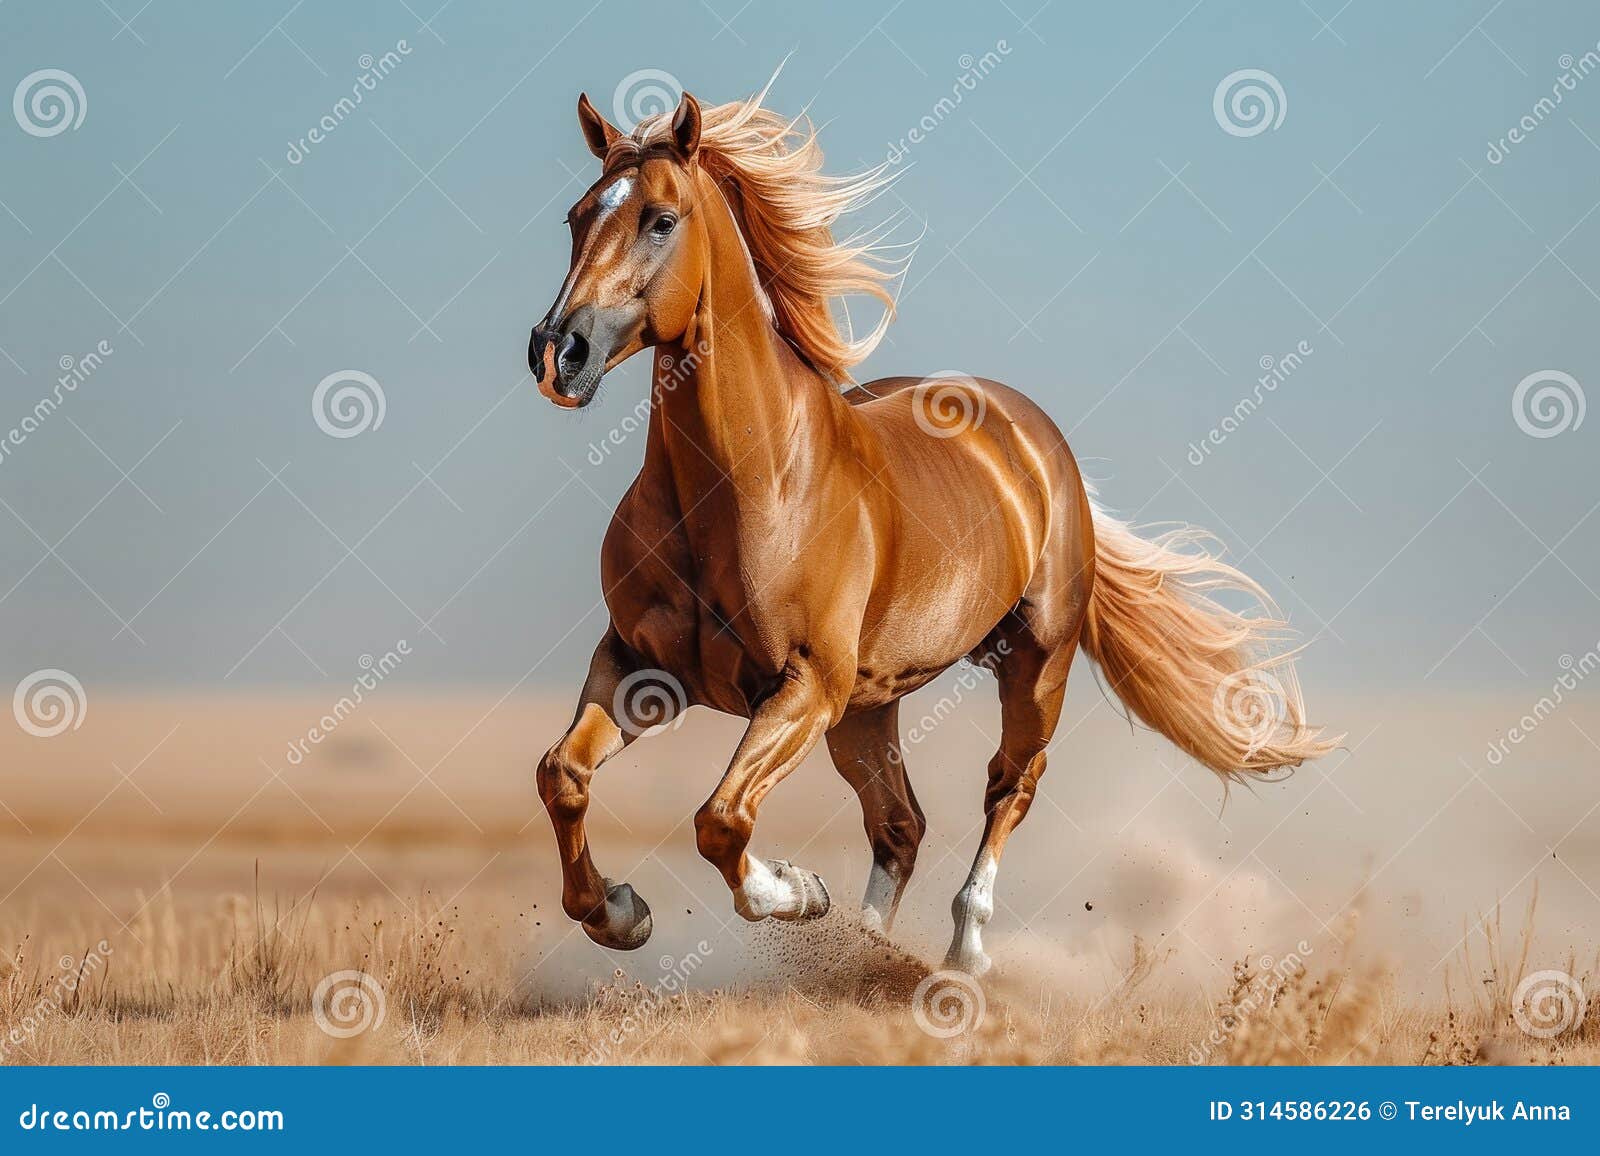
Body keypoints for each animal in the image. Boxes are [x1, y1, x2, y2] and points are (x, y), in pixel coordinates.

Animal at [526, 81, 1336, 976]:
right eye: (576, 216)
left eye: (661, 219)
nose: (558, 351)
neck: (744, 488)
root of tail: (1036, 441)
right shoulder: (640, 668)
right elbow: (562, 776)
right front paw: (618, 913)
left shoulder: (804, 686)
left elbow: (722, 821)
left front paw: (798, 892)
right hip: (867, 709)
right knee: (900, 824)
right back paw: (864, 955)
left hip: (1030, 667)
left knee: (1008, 785)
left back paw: (962, 952)